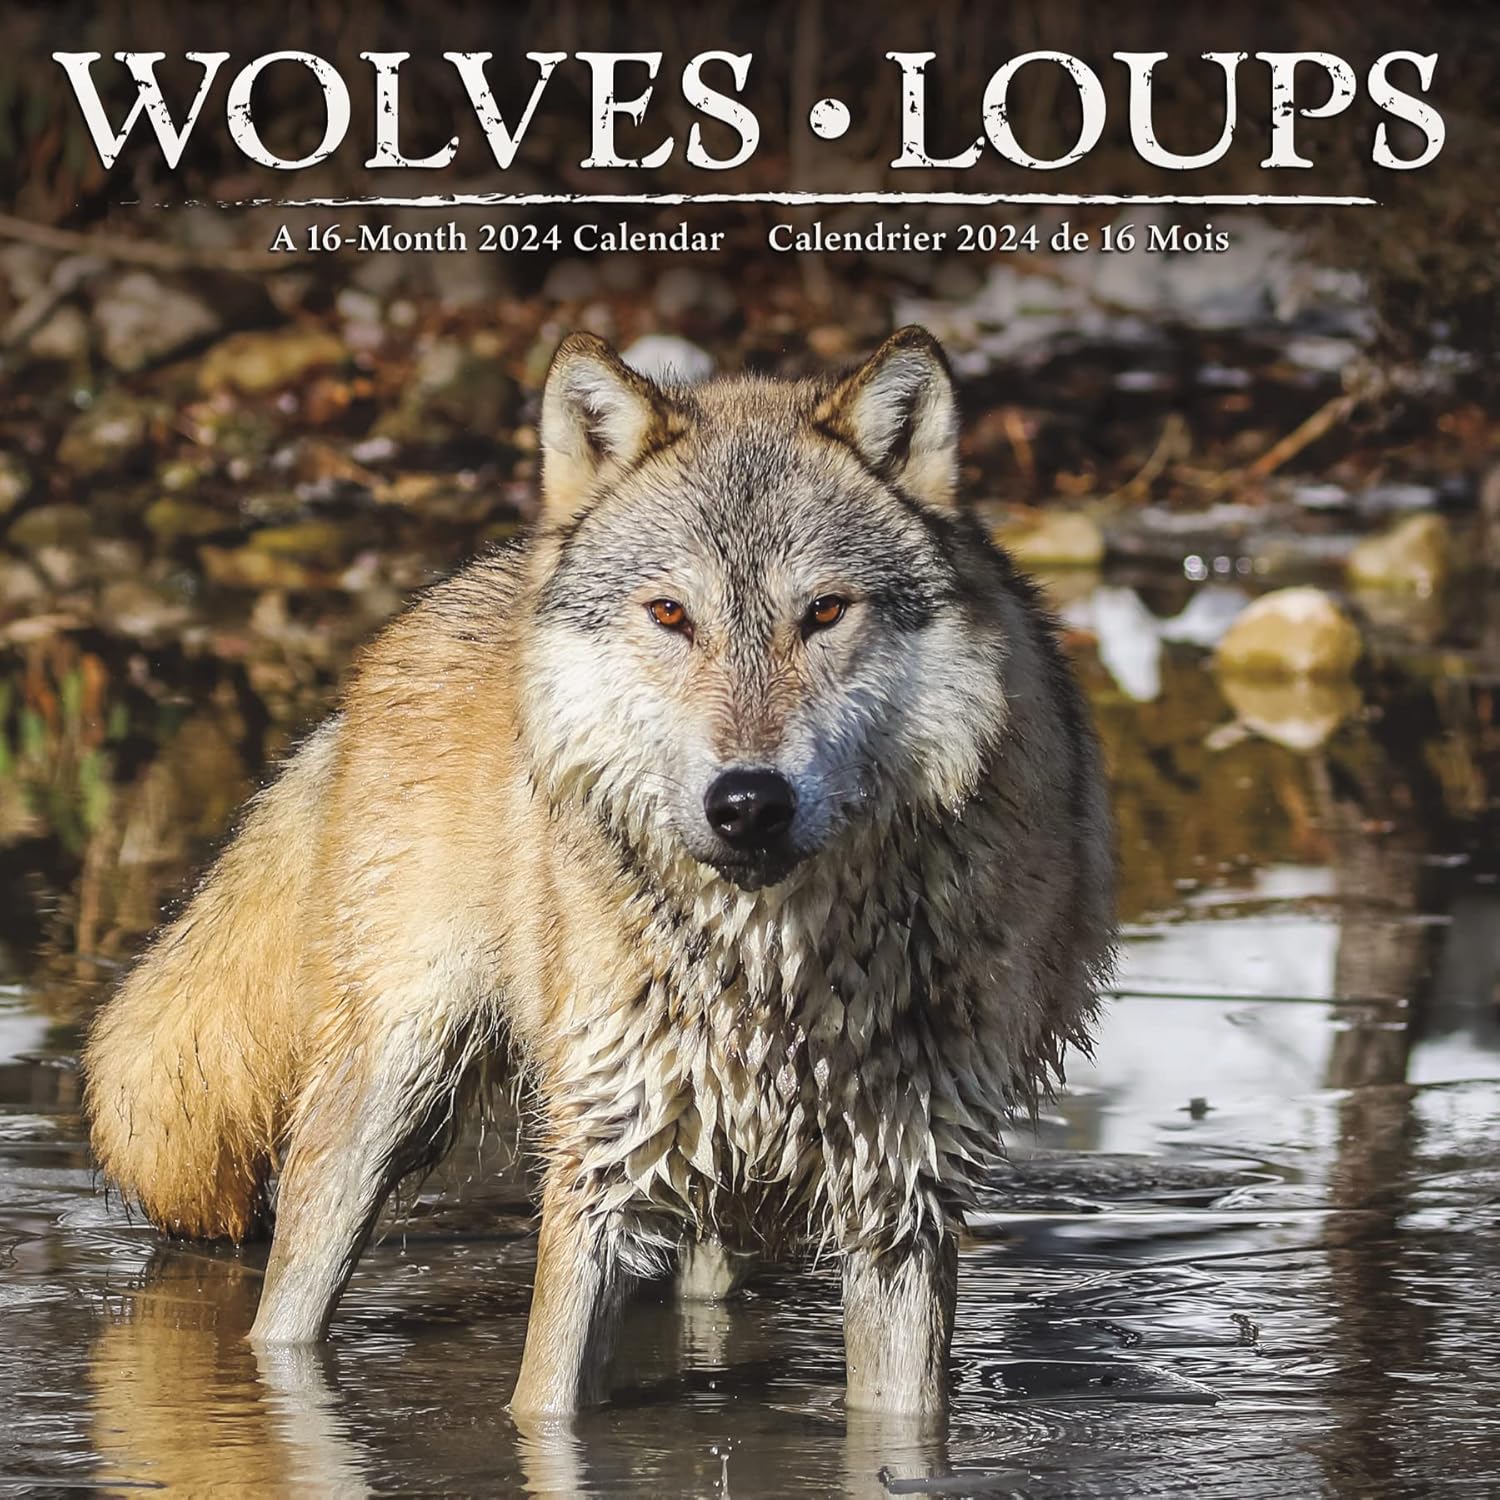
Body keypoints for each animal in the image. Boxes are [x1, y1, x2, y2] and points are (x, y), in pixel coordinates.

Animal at [85, 326, 1115, 1416]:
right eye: (669, 613)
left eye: (827, 611)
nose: (748, 802)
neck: (772, 970)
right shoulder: (601, 1180)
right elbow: (545, 1407)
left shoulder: (903, 1203)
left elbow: (900, 1420)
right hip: (388, 1103)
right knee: (283, 1312)